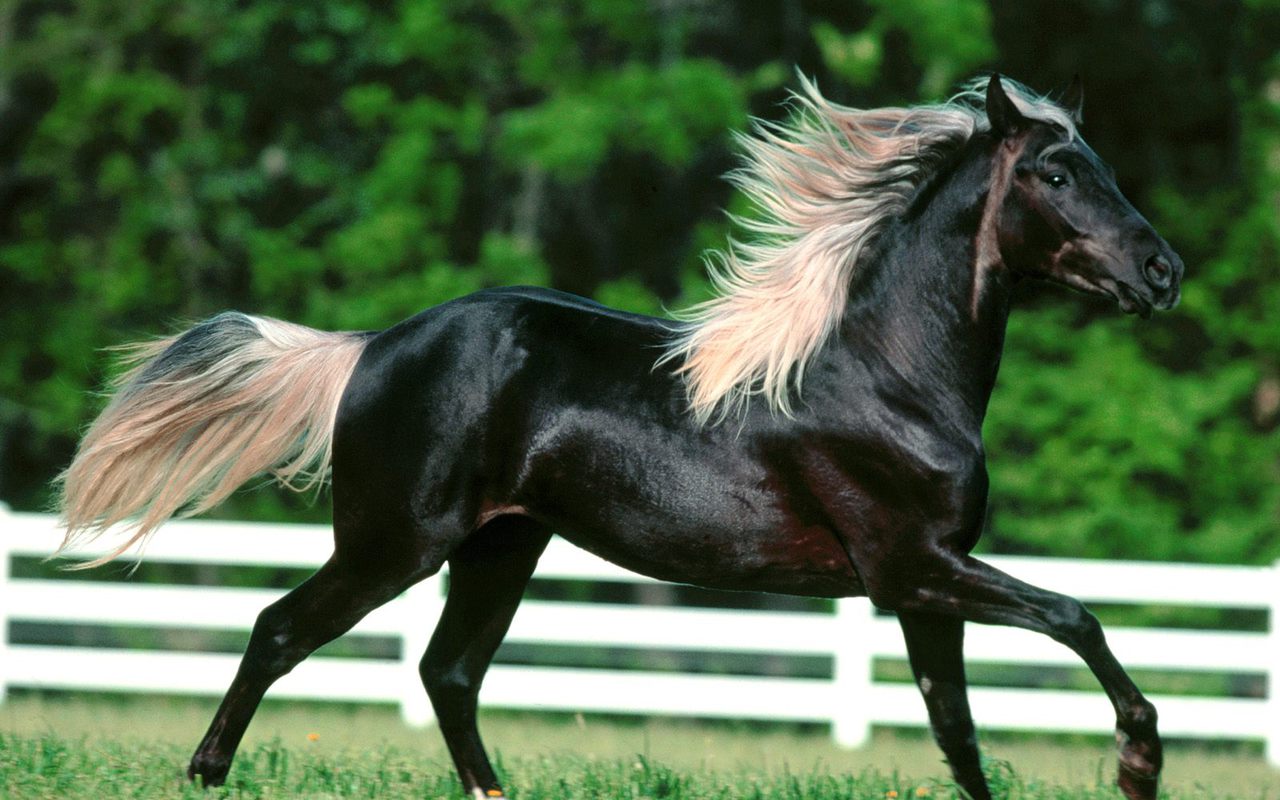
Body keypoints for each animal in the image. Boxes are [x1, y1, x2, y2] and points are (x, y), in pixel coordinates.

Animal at [54, 74, 1183, 800]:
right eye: (1054, 175)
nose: (1162, 271)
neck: (888, 374)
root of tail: (372, 347)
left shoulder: (920, 581)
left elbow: (955, 727)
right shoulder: (915, 564)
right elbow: (1075, 618)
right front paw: (1137, 765)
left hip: (500, 545)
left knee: (448, 673)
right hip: (394, 543)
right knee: (280, 631)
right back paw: (204, 775)